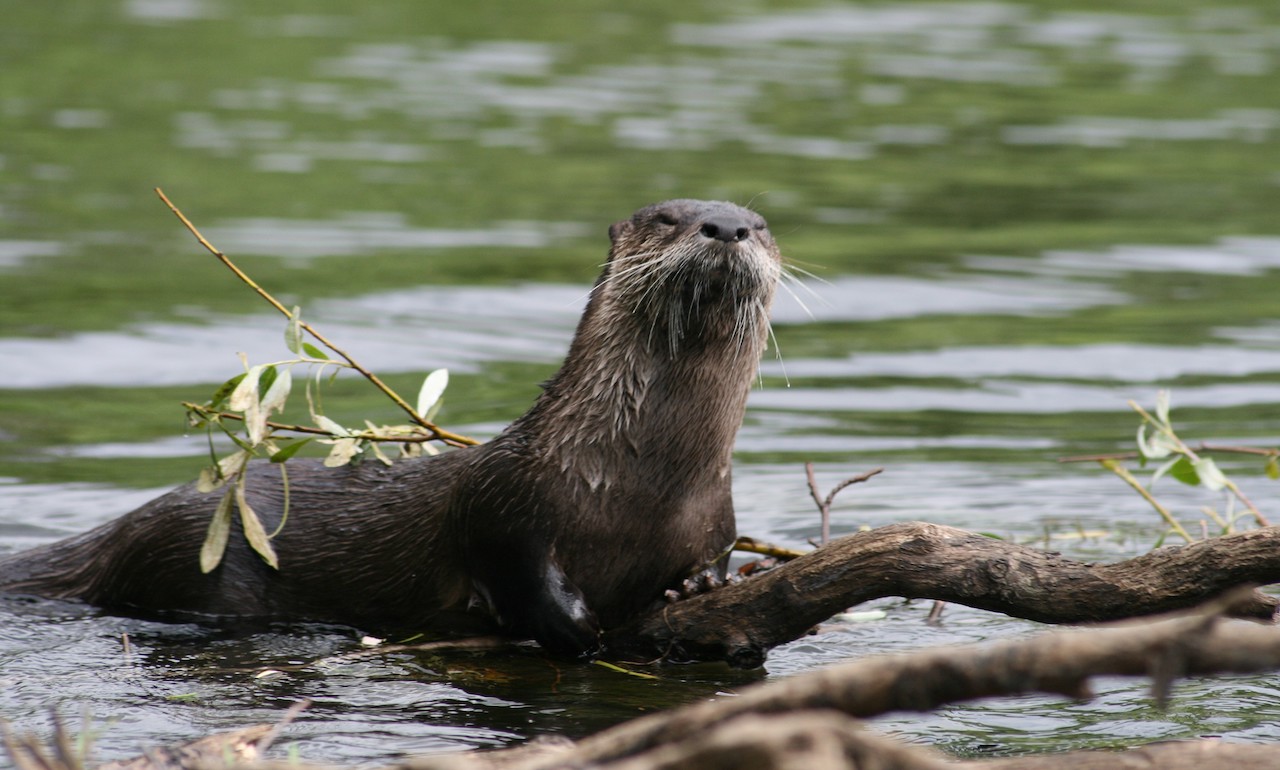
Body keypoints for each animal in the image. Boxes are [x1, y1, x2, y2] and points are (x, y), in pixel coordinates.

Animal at [0, 199, 781, 658]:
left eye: (760, 223)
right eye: (668, 216)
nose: (727, 227)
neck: (632, 476)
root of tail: (121, 527)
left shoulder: (717, 512)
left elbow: (712, 557)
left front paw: (696, 589)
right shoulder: (504, 505)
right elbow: (518, 574)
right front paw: (577, 626)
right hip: (194, 559)